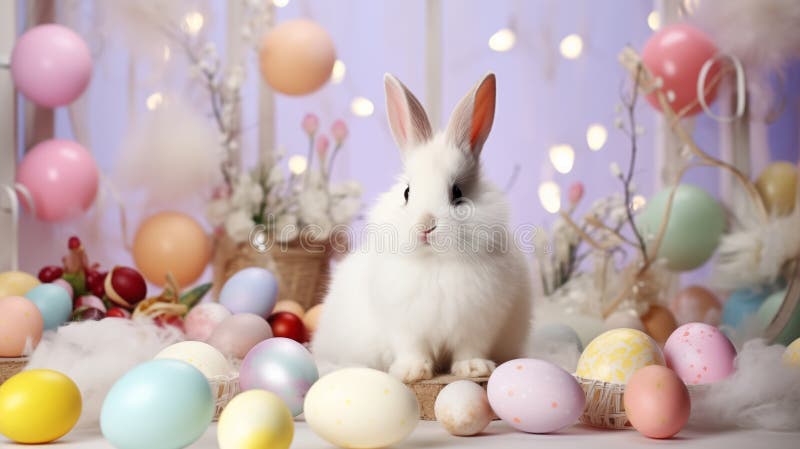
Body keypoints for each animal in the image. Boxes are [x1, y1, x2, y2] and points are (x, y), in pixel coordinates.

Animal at [311, 73, 533, 383]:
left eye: (457, 192)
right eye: (407, 192)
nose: (426, 226)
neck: (435, 262)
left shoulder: (479, 324)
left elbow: (469, 348)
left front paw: (473, 368)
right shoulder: (404, 326)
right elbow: (411, 348)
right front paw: (411, 372)